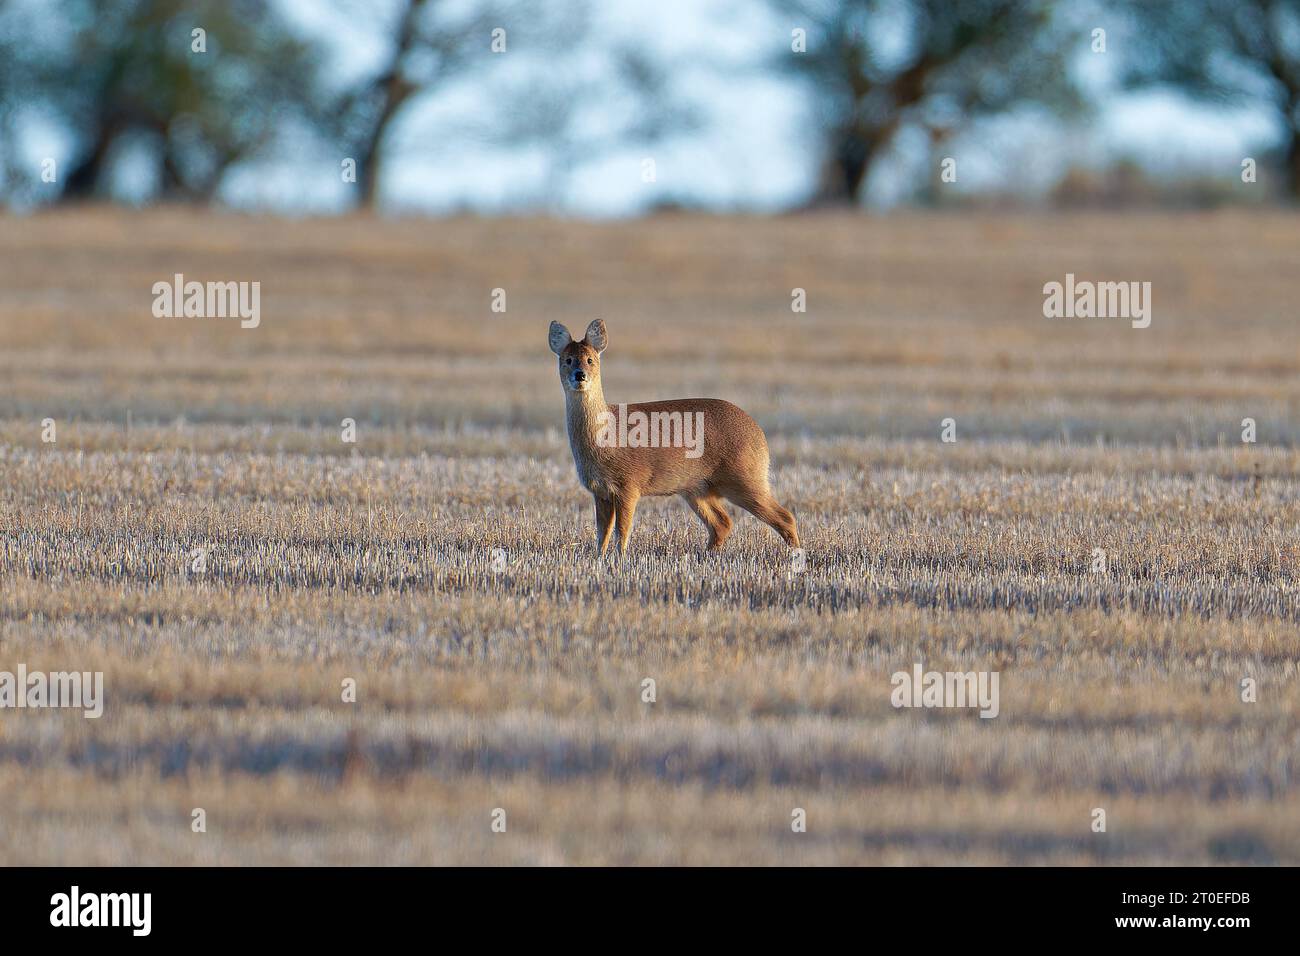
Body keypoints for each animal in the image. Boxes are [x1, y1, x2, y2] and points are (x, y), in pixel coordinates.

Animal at [548, 319, 800, 556]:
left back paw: (796, 554)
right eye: (568, 359)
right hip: (697, 489)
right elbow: (603, 533)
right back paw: (706, 555)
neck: (605, 436)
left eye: (590, 360)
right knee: (723, 523)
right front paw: (599, 558)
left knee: (785, 516)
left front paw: (620, 558)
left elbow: (623, 529)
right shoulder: (600, 491)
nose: (580, 375)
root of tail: (760, 435)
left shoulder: (629, 484)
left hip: (745, 477)